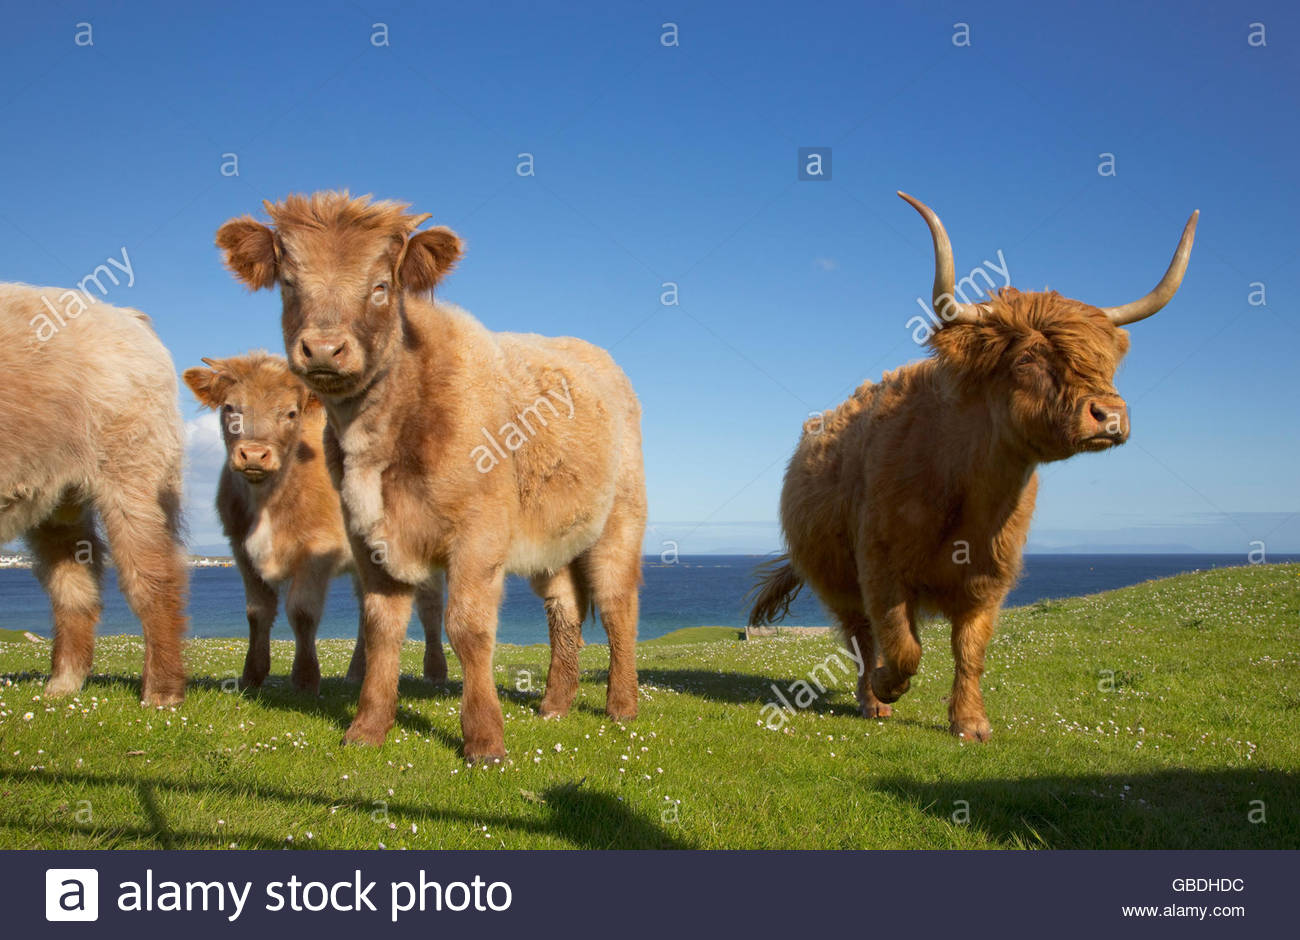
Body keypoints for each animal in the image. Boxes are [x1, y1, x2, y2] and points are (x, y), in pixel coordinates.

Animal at [0, 283, 188, 704]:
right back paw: (62, 685)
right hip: (57, 498)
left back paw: (161, 692)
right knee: (75, 586)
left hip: (133, 476)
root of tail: (124, 315)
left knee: (153, 576)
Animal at [183, 351, 445, 694]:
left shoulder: (317, 549)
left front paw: (306, 679)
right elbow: (257, 613)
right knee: (367, 610)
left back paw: (435, 671)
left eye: (291, 413)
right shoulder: (241, 550)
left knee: (430, 605)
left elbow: (302, 611)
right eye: (230, 408)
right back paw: (357, 672)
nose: (253, 454)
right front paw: (252, 676)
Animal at [215, 192, 647, 761]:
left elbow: (467, 628)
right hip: (552, 537)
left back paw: (622, 706)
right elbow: (381, 627)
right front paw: (368, 727)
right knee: (564, 609)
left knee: (619, 605)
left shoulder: (479, 535)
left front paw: (484, 739)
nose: (325, 349)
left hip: (618, 524)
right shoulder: (368, 537)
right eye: (288, 282)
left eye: (381, 286)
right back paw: (556, 702)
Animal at [749, 193, 1197, 741]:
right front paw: (887, 687)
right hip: (836, 579)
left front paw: (970, 722)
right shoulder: (880, 565)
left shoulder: (991, 574)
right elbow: (903, 645)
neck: (967, 486)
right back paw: (872, 700)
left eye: (1104, 361)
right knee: (860, 637)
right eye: (1027, 358)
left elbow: (970, 649)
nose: (1109, 415)